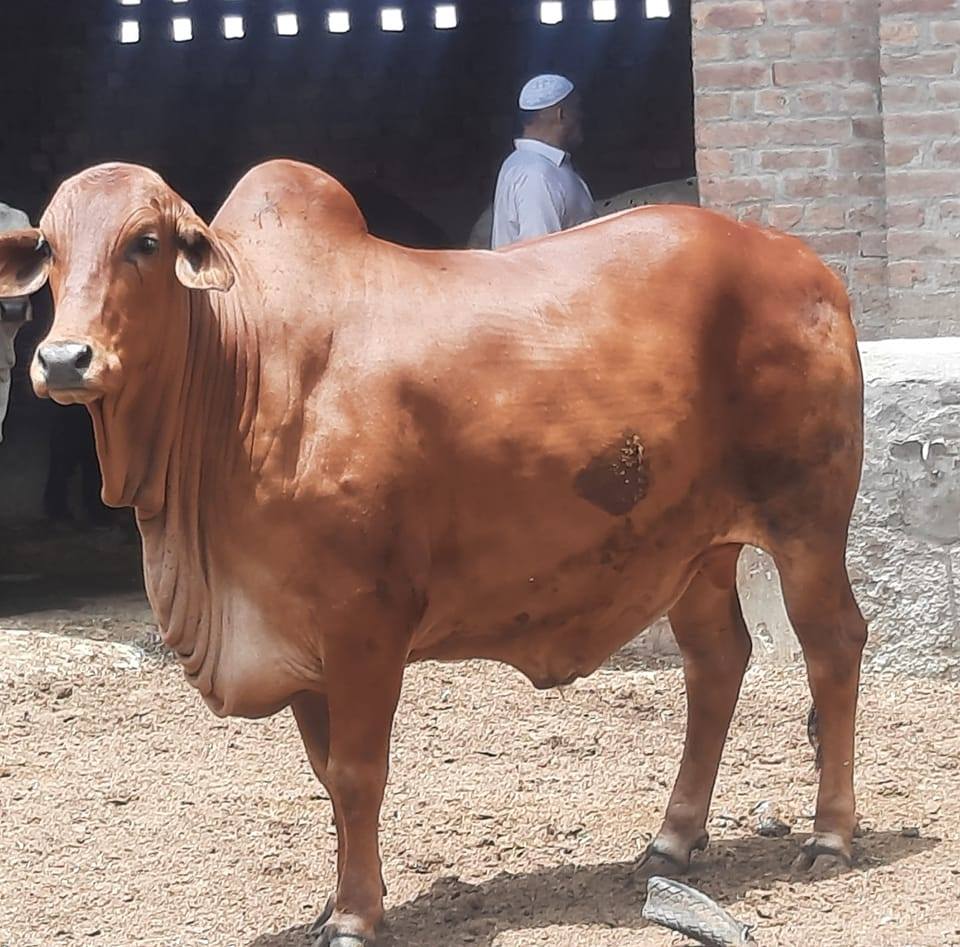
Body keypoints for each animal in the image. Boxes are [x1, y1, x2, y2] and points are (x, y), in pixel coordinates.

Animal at [0, 161, 867, 946]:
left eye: (144, 242)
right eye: (48, 245)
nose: (64, 359)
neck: (239, 373)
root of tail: (805, 263)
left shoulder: (364, 621)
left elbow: (357, 773)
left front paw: (354, 918)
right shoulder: (298, 640)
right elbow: (326, 776)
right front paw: (338, 901)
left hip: (808, 522)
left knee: (833, 645)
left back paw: (829, 833)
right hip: (693, 547)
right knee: (715, 661)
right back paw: (672, 839)